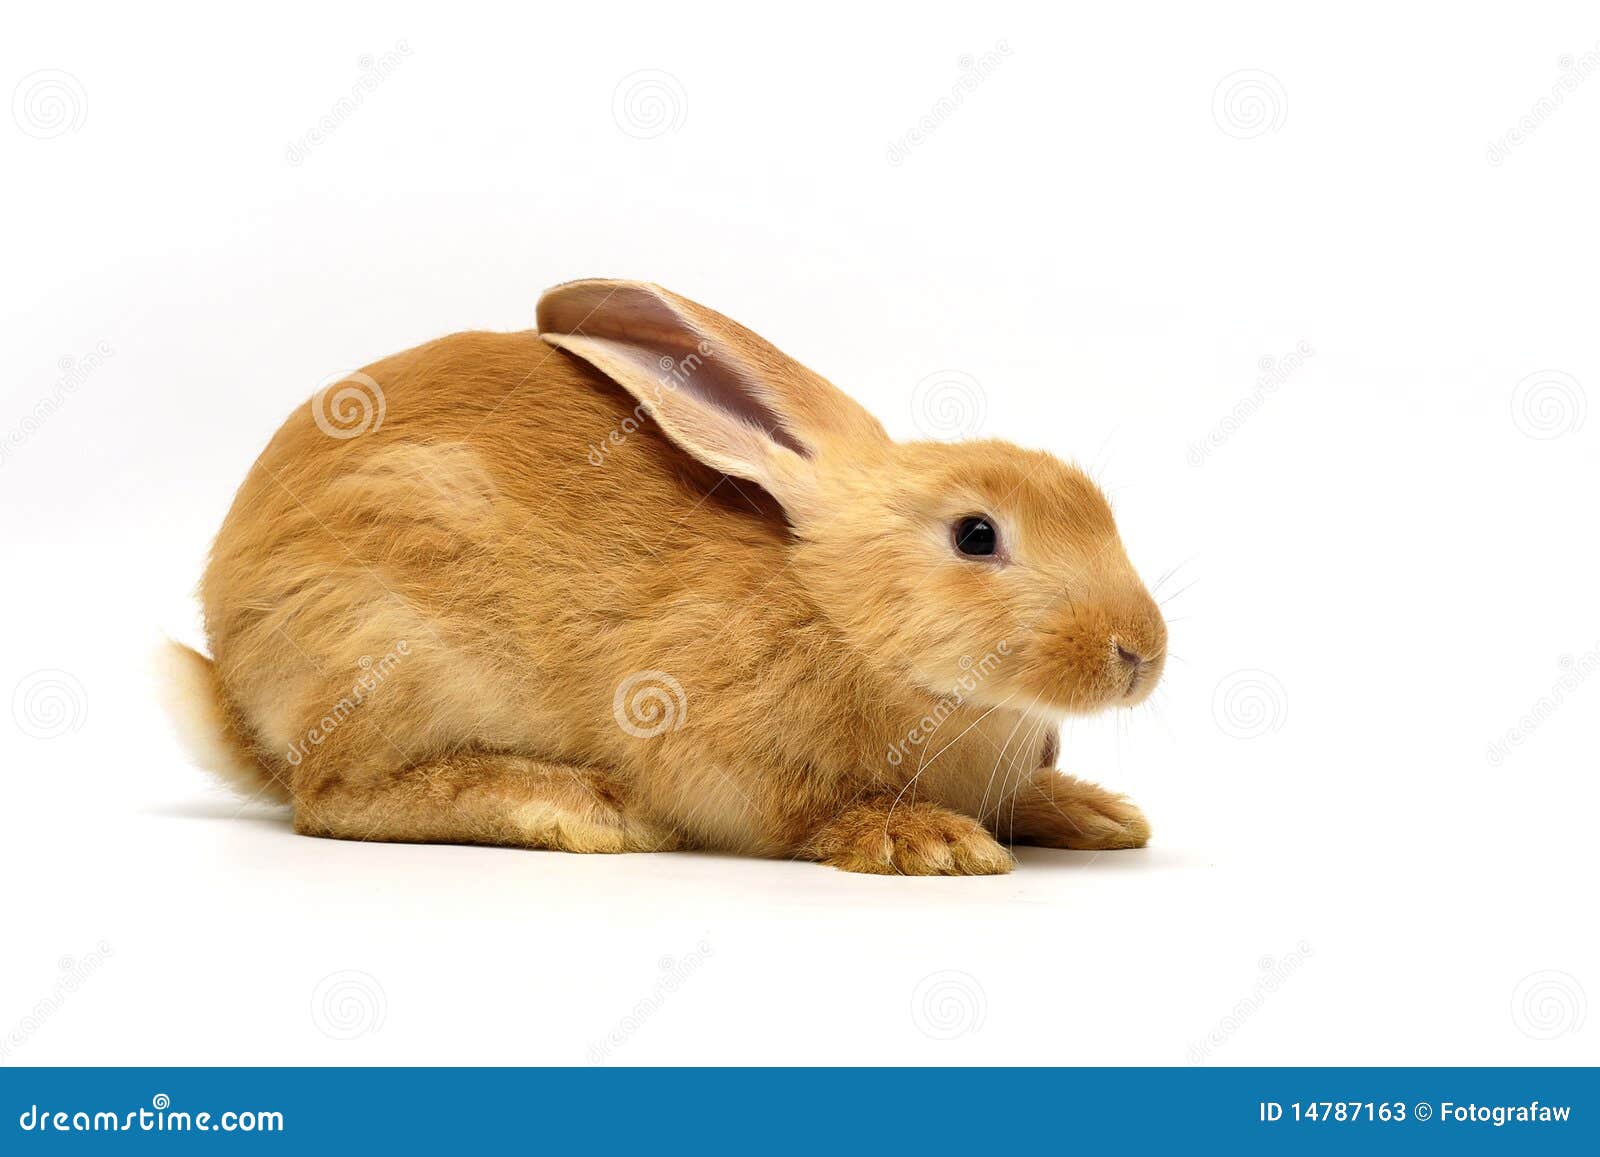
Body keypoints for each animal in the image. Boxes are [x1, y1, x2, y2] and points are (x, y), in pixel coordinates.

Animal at [160, 279, 1166, 875]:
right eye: (975, 535)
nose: (1141, 653)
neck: (841, 615)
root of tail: (239, 698)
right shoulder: (713, 745)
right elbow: (802, 816)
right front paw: (927, 837)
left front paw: (1093, 814)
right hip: (383, 652)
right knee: (331, 796)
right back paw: (579, 810)